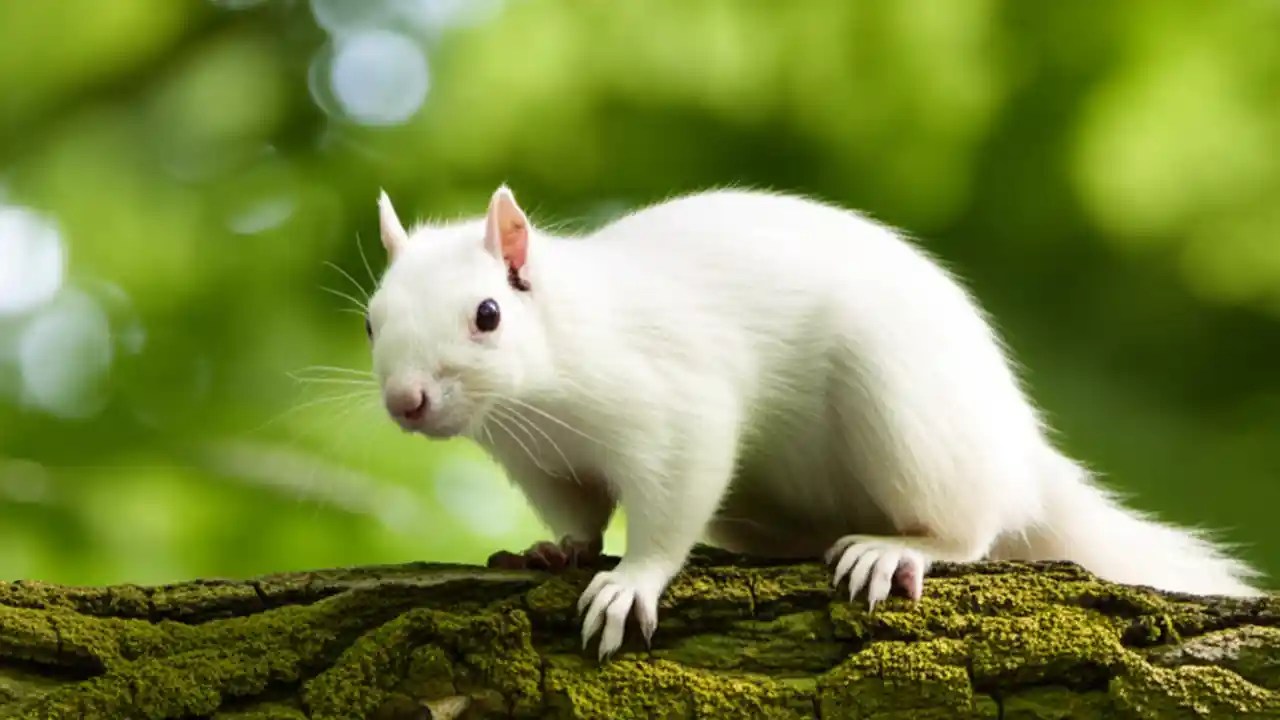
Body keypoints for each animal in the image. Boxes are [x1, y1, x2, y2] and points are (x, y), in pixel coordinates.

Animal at [364, 185, 1264, 660]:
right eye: (371, 321)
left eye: (487, 315)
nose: (404, 403)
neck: (532, 402)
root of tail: (1019, 453)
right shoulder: (543, 464)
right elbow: (580, 515)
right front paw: (558, 551)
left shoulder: (676, 407)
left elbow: (668, 505)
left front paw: (629, 584)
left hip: (906, 416)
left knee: (971, 527)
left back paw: (901, 549)